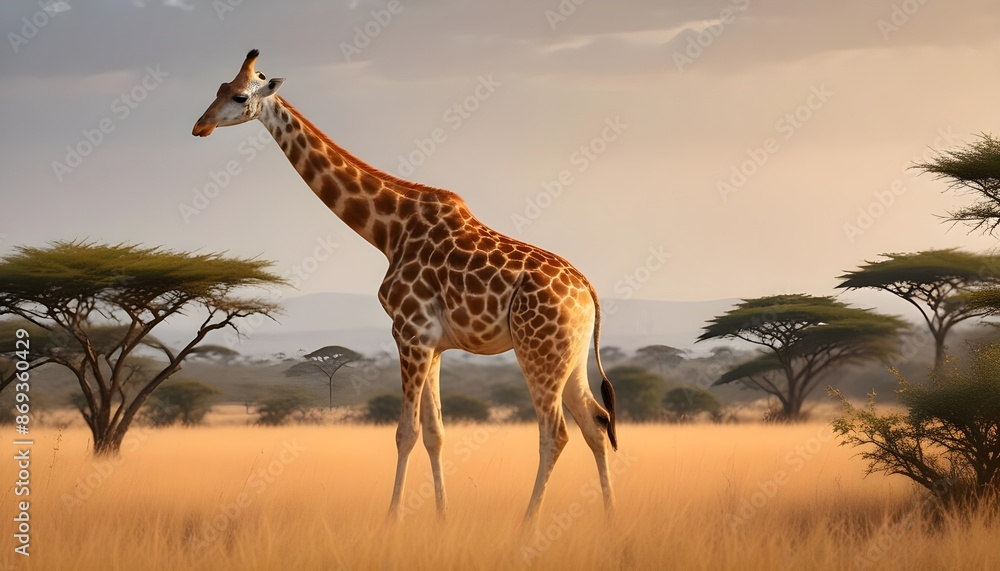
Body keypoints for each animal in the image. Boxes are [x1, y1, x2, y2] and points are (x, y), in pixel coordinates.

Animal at [192, 50, 619, 521]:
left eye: (239, 95)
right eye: (217, 88)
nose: (200, 126)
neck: (388, 232)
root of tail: (587, 292)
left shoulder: (409, 332)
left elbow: (405, 432)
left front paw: (392, 519)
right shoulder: (433, 343)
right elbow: (435, 433)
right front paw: (441, 517)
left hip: (537, 351)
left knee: (555, 432)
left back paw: (527, 525)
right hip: (569, 356)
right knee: (596, 422)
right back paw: (609, 520)